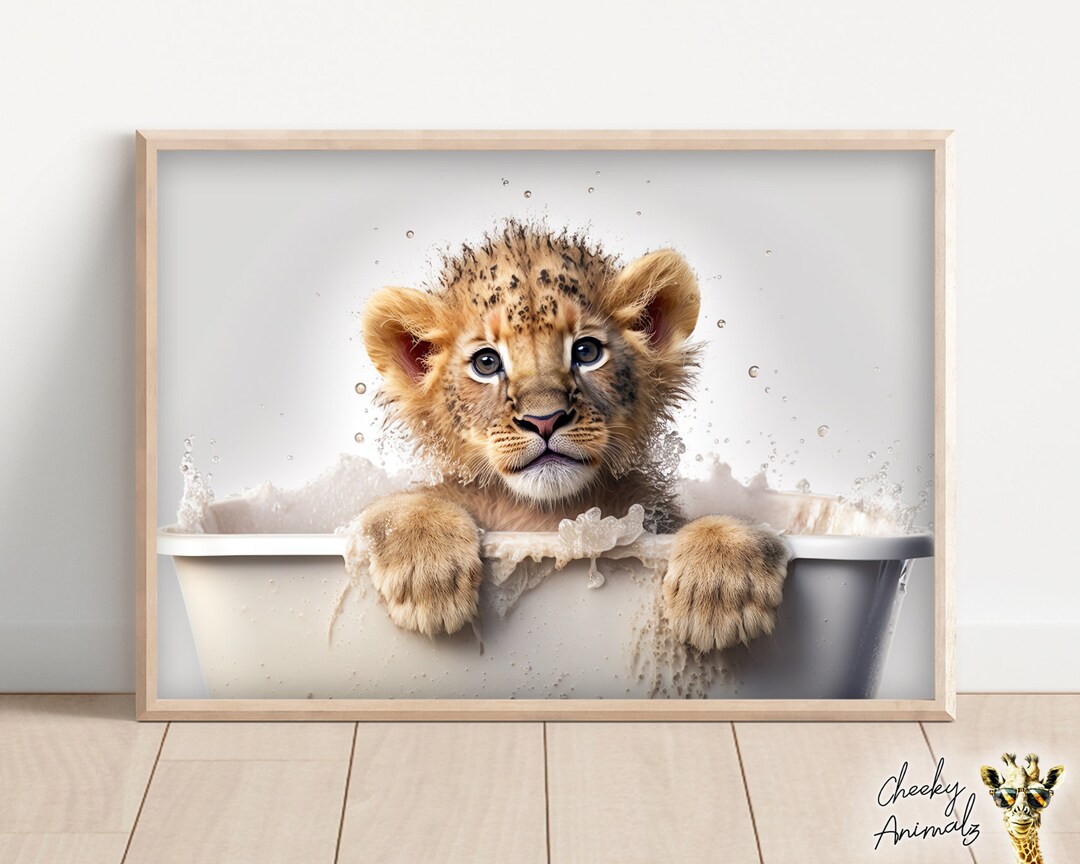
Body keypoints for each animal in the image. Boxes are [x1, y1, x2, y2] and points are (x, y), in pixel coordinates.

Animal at [358, 221, 789, 652]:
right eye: (486, 362)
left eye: (586, 352)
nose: (545, 420)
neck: (545, 518)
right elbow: (404, 507)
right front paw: (426, 574)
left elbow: (715, 524)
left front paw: (720, 587)